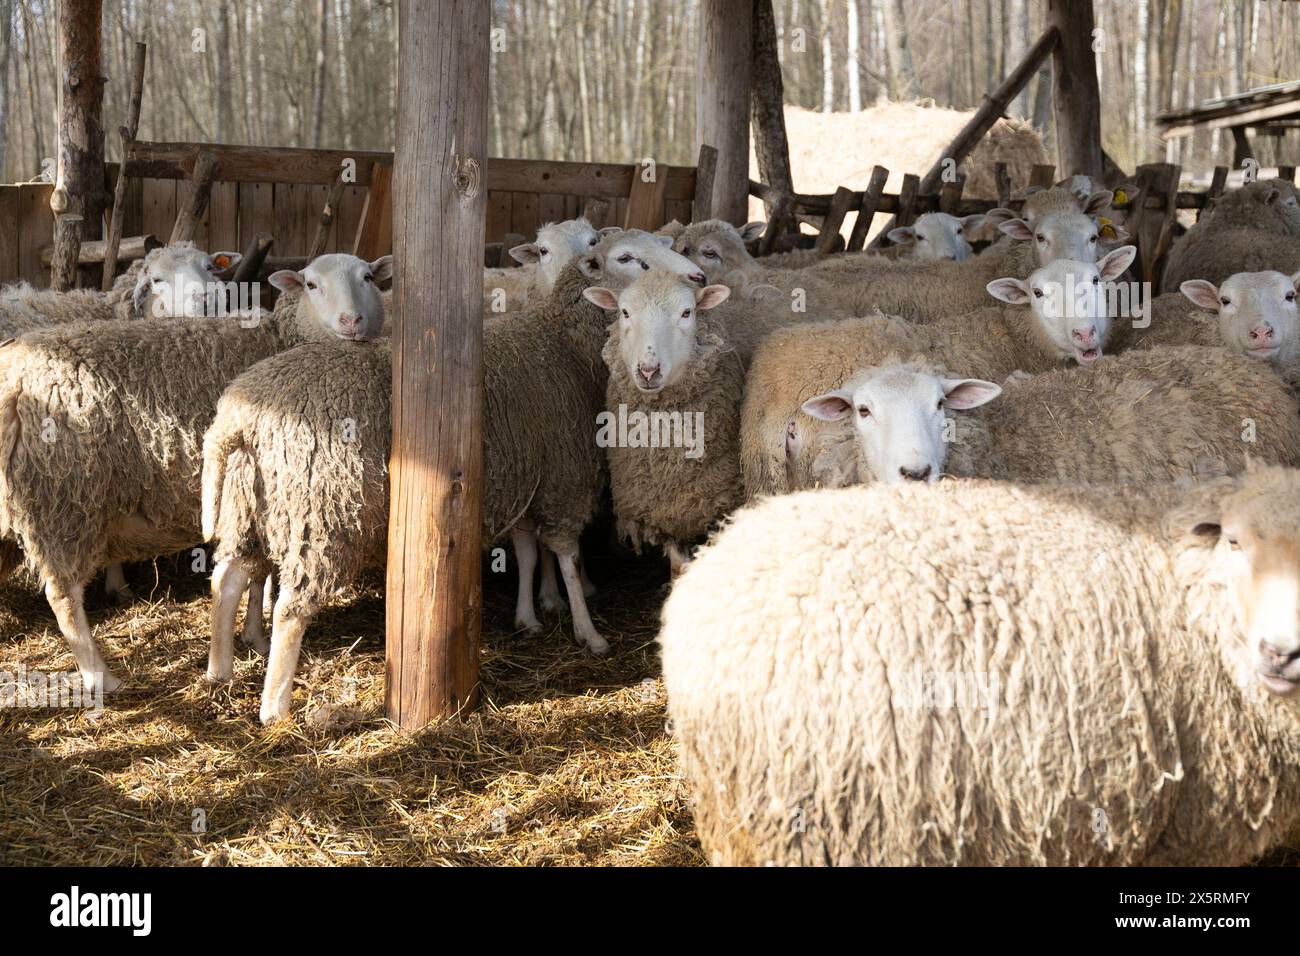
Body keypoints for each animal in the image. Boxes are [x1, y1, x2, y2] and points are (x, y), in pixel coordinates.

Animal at [0, 253, 391, 693]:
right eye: (311, 284)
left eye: (367, 277)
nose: (350, 321)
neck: (278, 338)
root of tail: (11, 382)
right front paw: (258, 633)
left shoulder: (255, 494)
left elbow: (257, 573)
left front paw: (255, 635)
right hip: (62, 500)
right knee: (63, 593)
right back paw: (102, 677)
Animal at [202, 233, 705, 722]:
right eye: (629, 258)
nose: (698, 277)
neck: (562, 338)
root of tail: (238, 418)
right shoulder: (564, 476)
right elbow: (569, 556)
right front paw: (589, 631)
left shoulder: (523, 474)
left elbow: (527, 552)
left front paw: (529, 616)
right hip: (320, 511)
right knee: (289, 607)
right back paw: (274, 707)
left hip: (247, 505)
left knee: (227, 578)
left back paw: (219, 669)